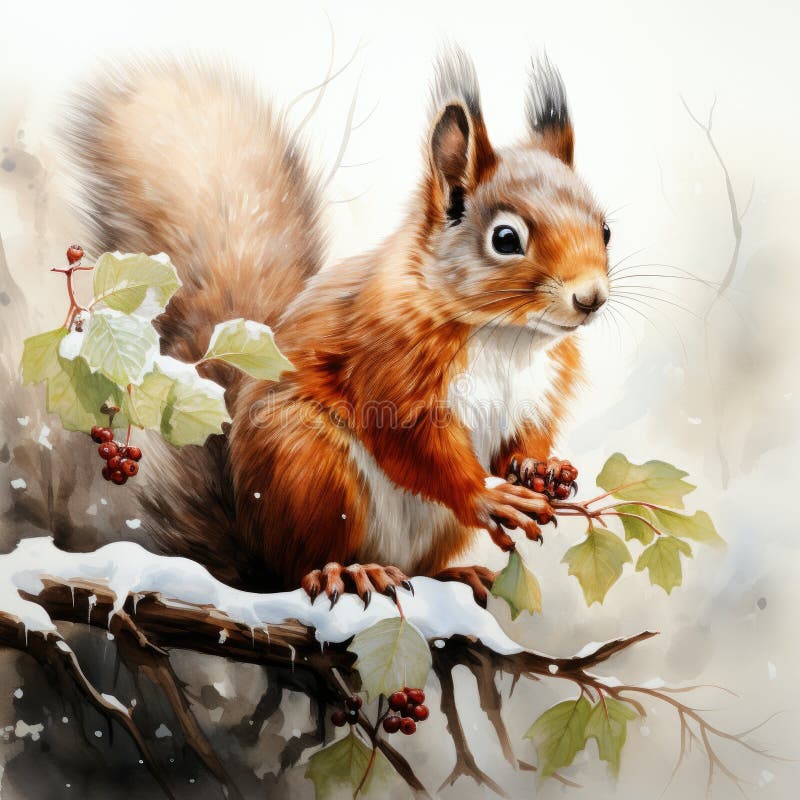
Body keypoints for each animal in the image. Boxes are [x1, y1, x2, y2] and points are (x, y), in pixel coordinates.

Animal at [62, 49, 610, 607]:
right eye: (505, 238)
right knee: (303, 566)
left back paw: (452, 575)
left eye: (605, 229)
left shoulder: (539, 390)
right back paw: (347, 572)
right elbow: (414, 445)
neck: (506, 336)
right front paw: (488, 496)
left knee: (417, 568)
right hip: (311, 467)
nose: (590, 298)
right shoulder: (389, 366)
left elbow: (521, 441)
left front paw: (540, 469)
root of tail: (254, 556)